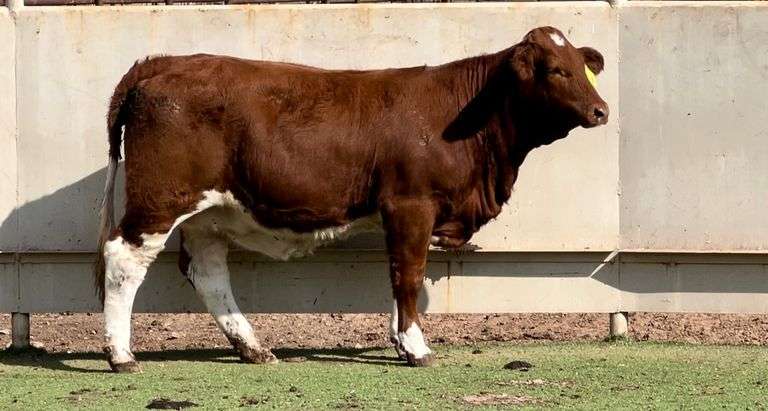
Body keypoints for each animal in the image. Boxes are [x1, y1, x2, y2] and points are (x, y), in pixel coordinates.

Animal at [95, 26, 608, 373]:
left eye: (583, 69)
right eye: (555, 70)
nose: (601, 110)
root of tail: (163, 62)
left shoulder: (399, 215)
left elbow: (397, 277)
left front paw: (400, 341)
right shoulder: (411, 204)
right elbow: (409, 276)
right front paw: (417, 348)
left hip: (209, 213)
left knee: (208, 273)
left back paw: (253, 348)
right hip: (159, 199)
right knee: (123, 259)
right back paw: (121, 354)